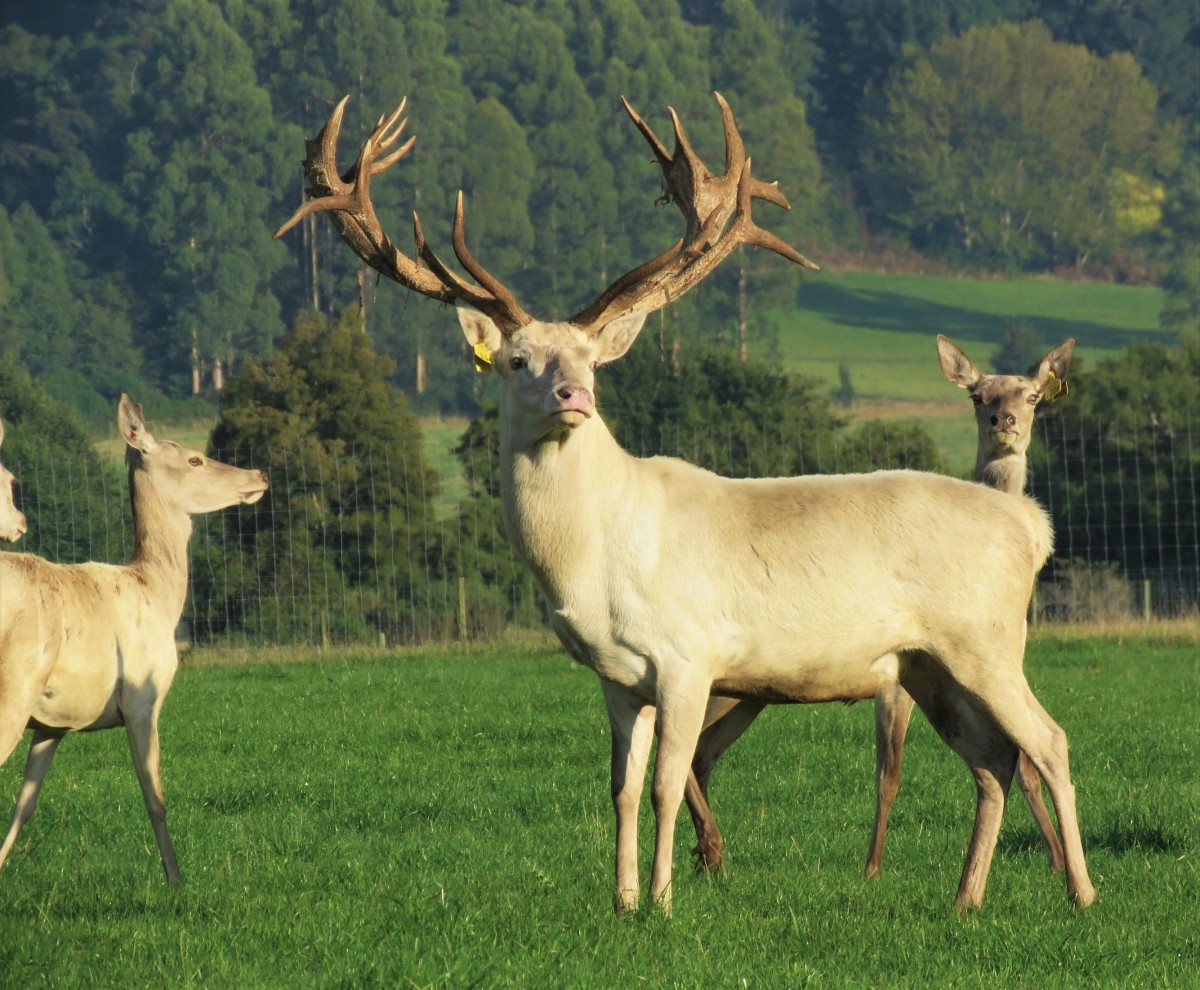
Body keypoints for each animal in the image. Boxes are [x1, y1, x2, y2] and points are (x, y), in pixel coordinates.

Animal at [0, 395, 268, 882]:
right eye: (194, 458)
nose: (260, 474)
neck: (158, 595)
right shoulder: (143, 697)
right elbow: (155, 797)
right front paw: (177, 880)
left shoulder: (52, 723)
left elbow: (24, 805)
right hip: (13, 685)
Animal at [677, 335, 1080, 882]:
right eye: (978, 396)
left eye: (1033, 395)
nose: (1005, 422)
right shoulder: (895, 685)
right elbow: (889, 773)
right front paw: (872, 867)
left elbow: (1018, 762)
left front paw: (1055, 859)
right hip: (723, 688)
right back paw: (710, 848)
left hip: (746, 697)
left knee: (701, 754)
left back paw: (706, 856)